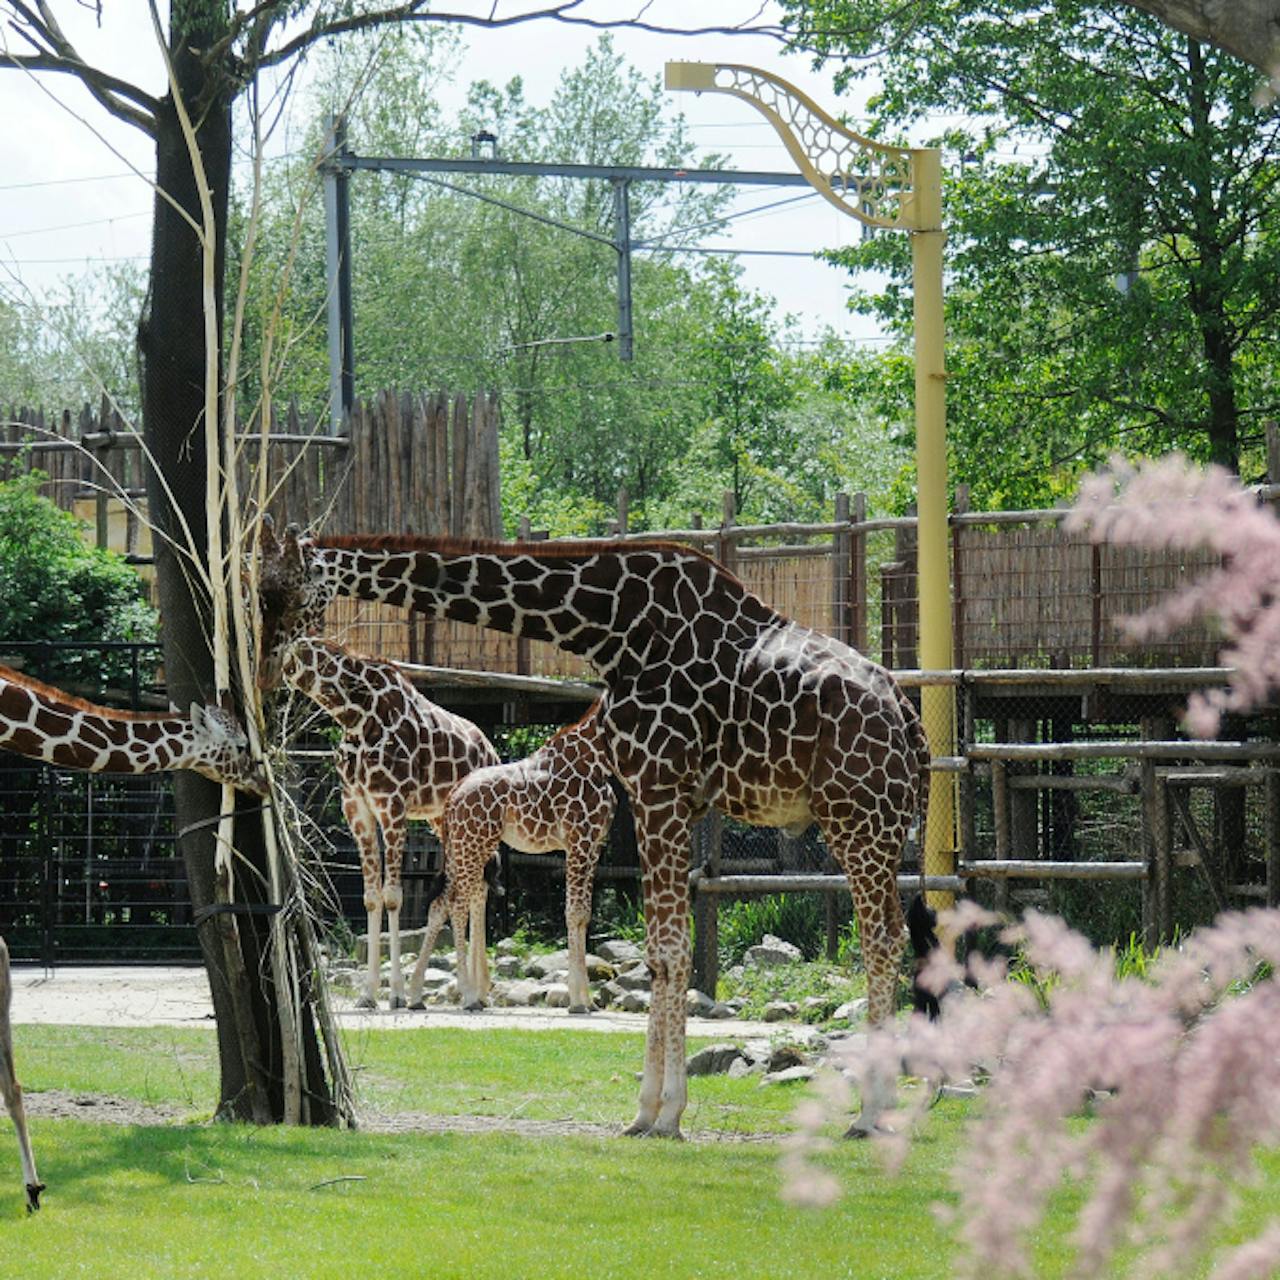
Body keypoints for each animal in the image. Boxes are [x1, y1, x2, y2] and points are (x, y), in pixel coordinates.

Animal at [261, 633, 499, 1009]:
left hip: (474, 821)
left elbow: (393, 897)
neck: (354, 716)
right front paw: (369, 993)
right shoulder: (356, 806)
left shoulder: (392, 804)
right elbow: (371, 898)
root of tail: (491, 749)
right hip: (442, 821)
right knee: (467, 889)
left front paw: (396, 993)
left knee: (469, 890)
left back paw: (469, 992)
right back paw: (463, 990)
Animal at [407, 700, 616, 1014]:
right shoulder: (579, 841)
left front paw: (587, 1000)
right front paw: (578, 1002)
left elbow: (584, 914)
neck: (598, 761)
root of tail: (453, 796)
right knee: (457, 904)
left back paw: (416, 995)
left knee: (441, 904)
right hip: (474, 844)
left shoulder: (594, 846)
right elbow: (575, 912)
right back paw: (469, 996)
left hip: (462, 847)